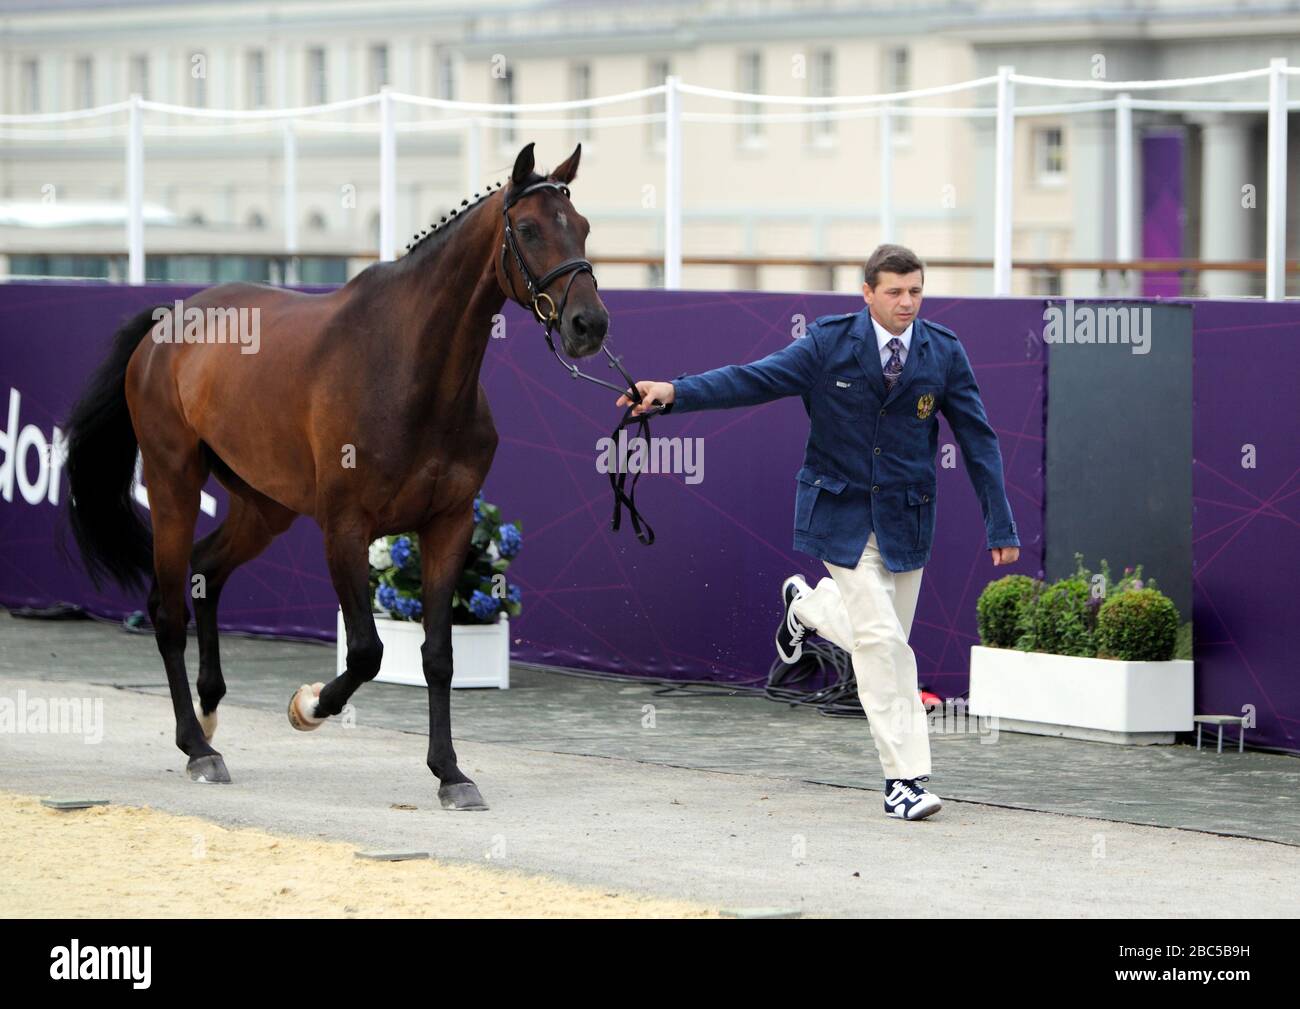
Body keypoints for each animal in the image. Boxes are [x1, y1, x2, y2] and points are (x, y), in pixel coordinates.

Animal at [62, 142, 607, 811]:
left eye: (581, 227)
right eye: (528, 229)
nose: (589, 325)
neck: (410, 372)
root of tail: (167, 325)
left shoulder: (448, 525)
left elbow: (438, 655)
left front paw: (451, 773)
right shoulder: (345, 529)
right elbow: (369, 651)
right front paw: (308, 706)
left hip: (264, 506)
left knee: (205, 571)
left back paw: (211, 708)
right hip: (174, 486)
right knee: (167, 610)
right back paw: (197, 746)